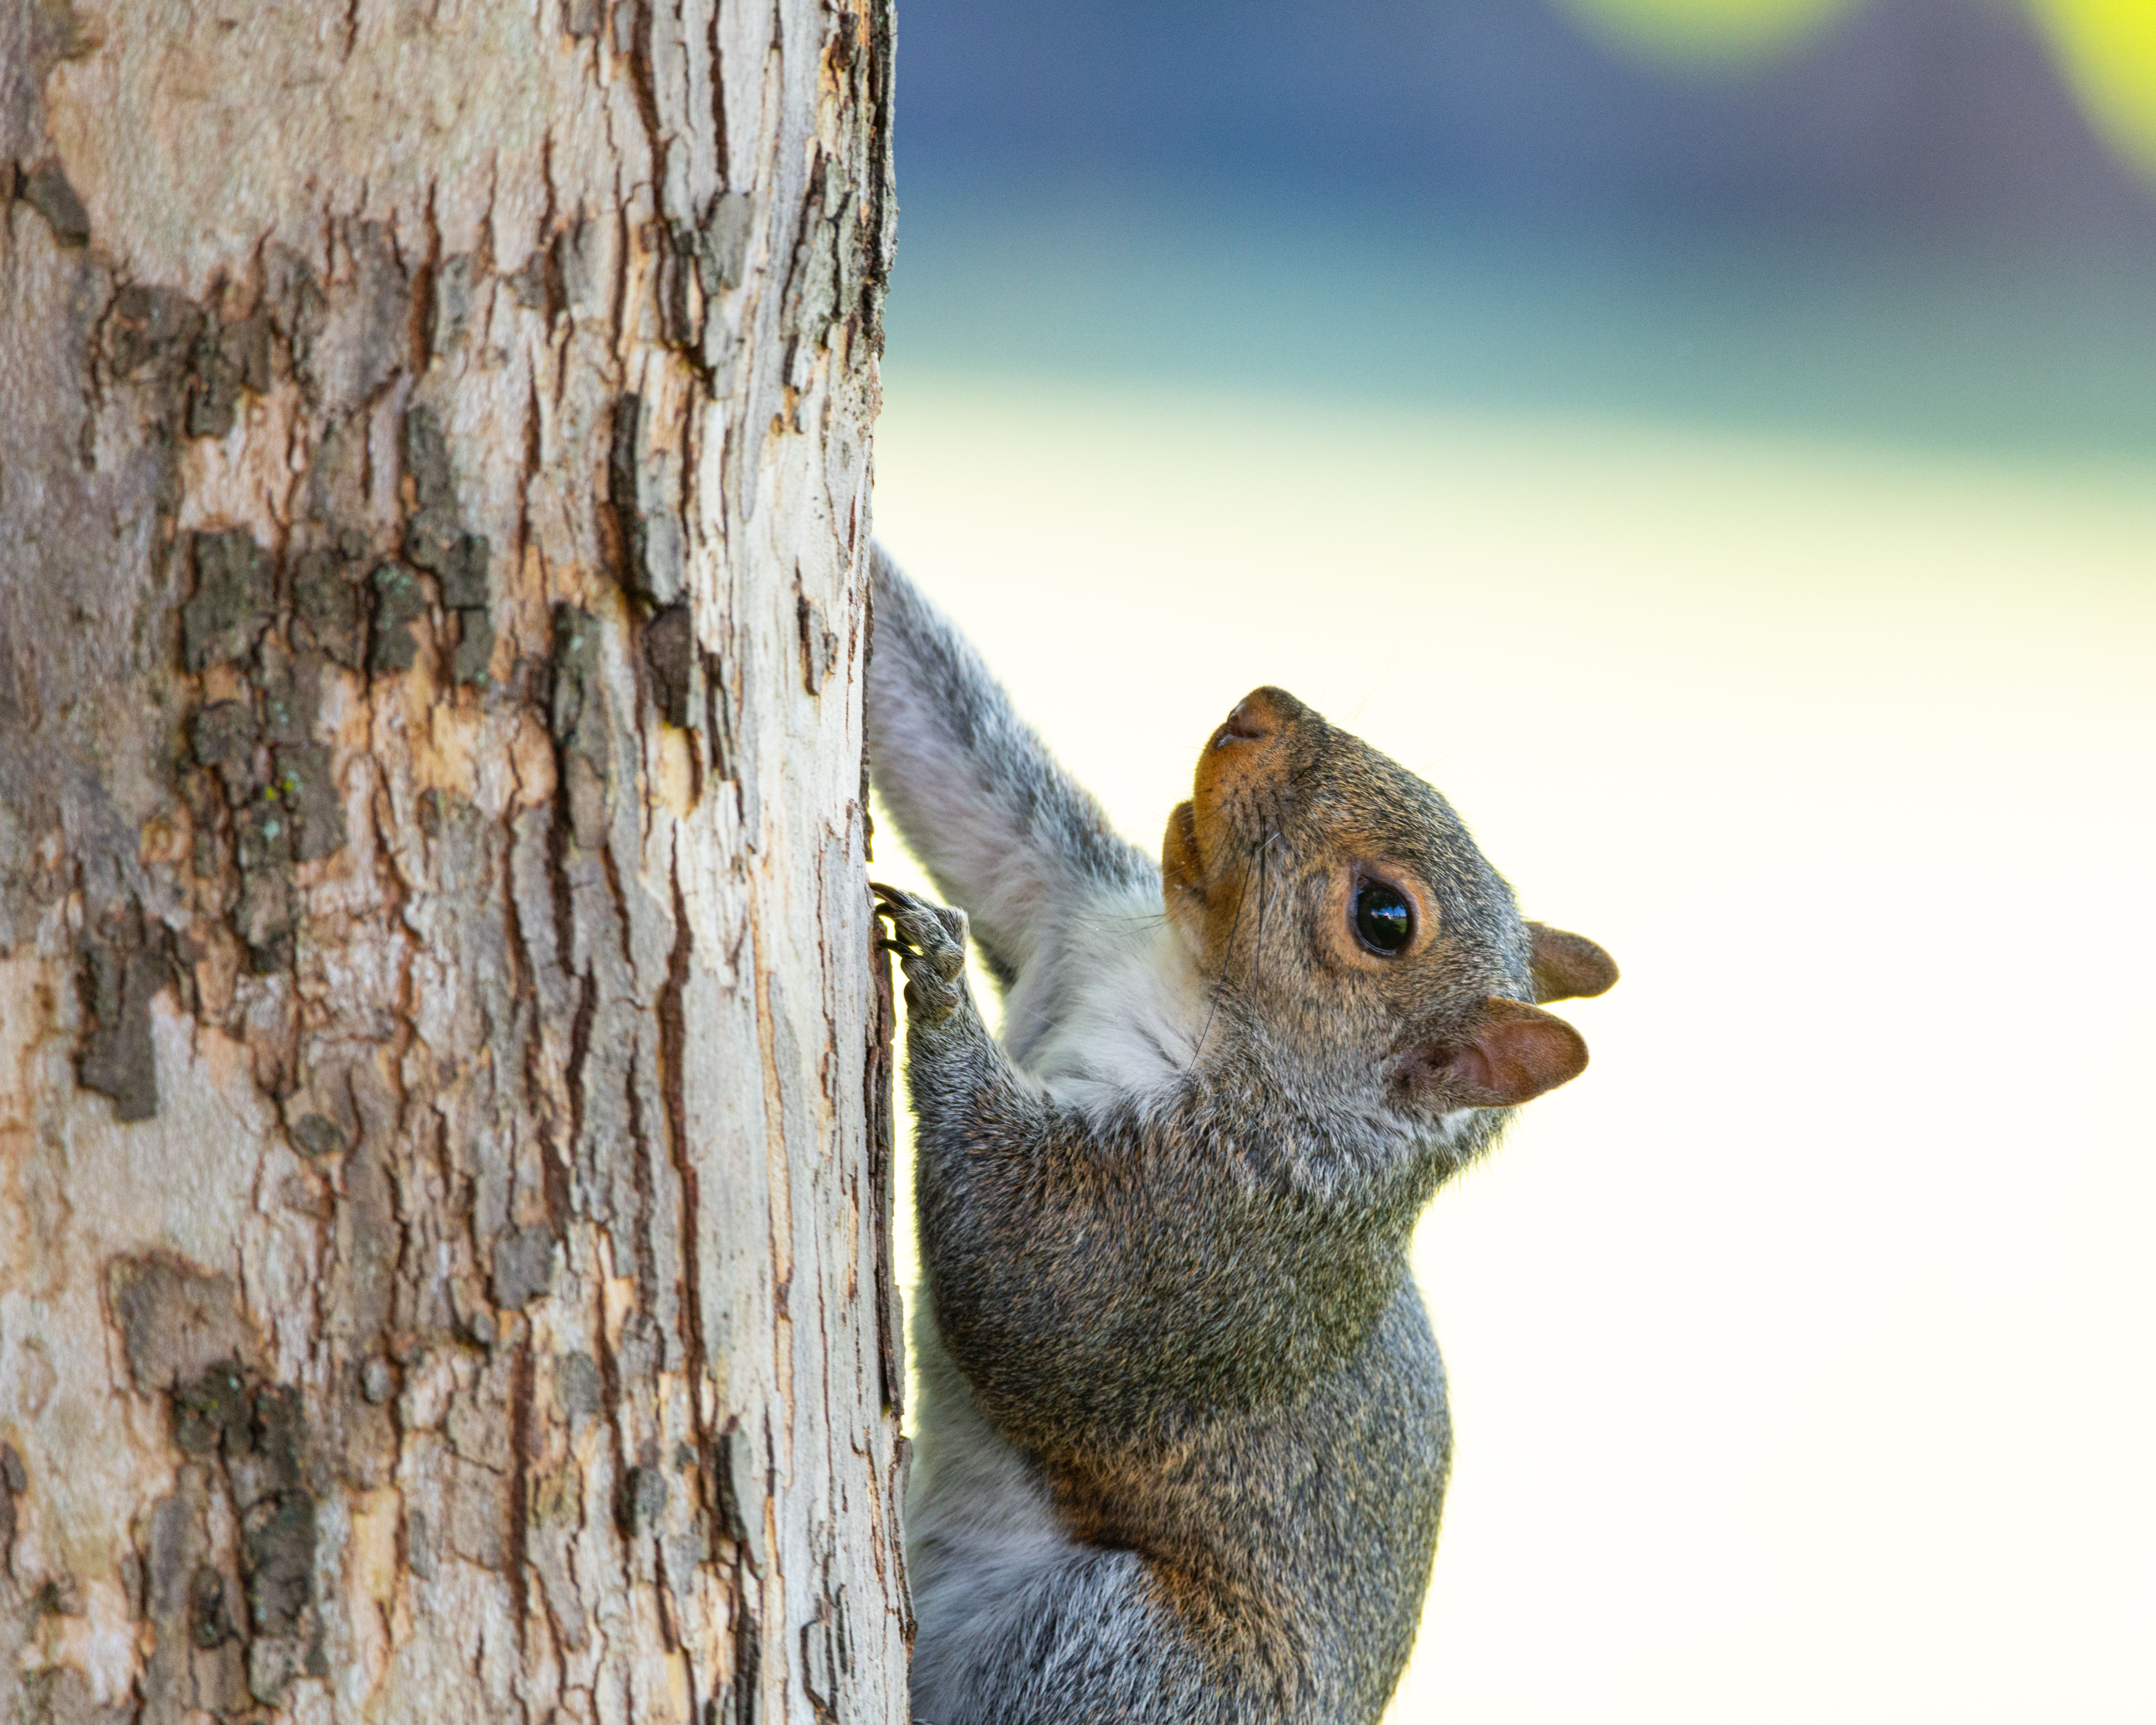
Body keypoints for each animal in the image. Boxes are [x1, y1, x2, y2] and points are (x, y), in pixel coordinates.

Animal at [865, 547, 1617, 1725]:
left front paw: (940, 990)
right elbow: (963, 791)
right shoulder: (1080, 911)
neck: (1200, 990)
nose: (1261, 709)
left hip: (1137, 1655)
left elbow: (1027, 1273)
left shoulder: (1209, 1235)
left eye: (1385, 919)